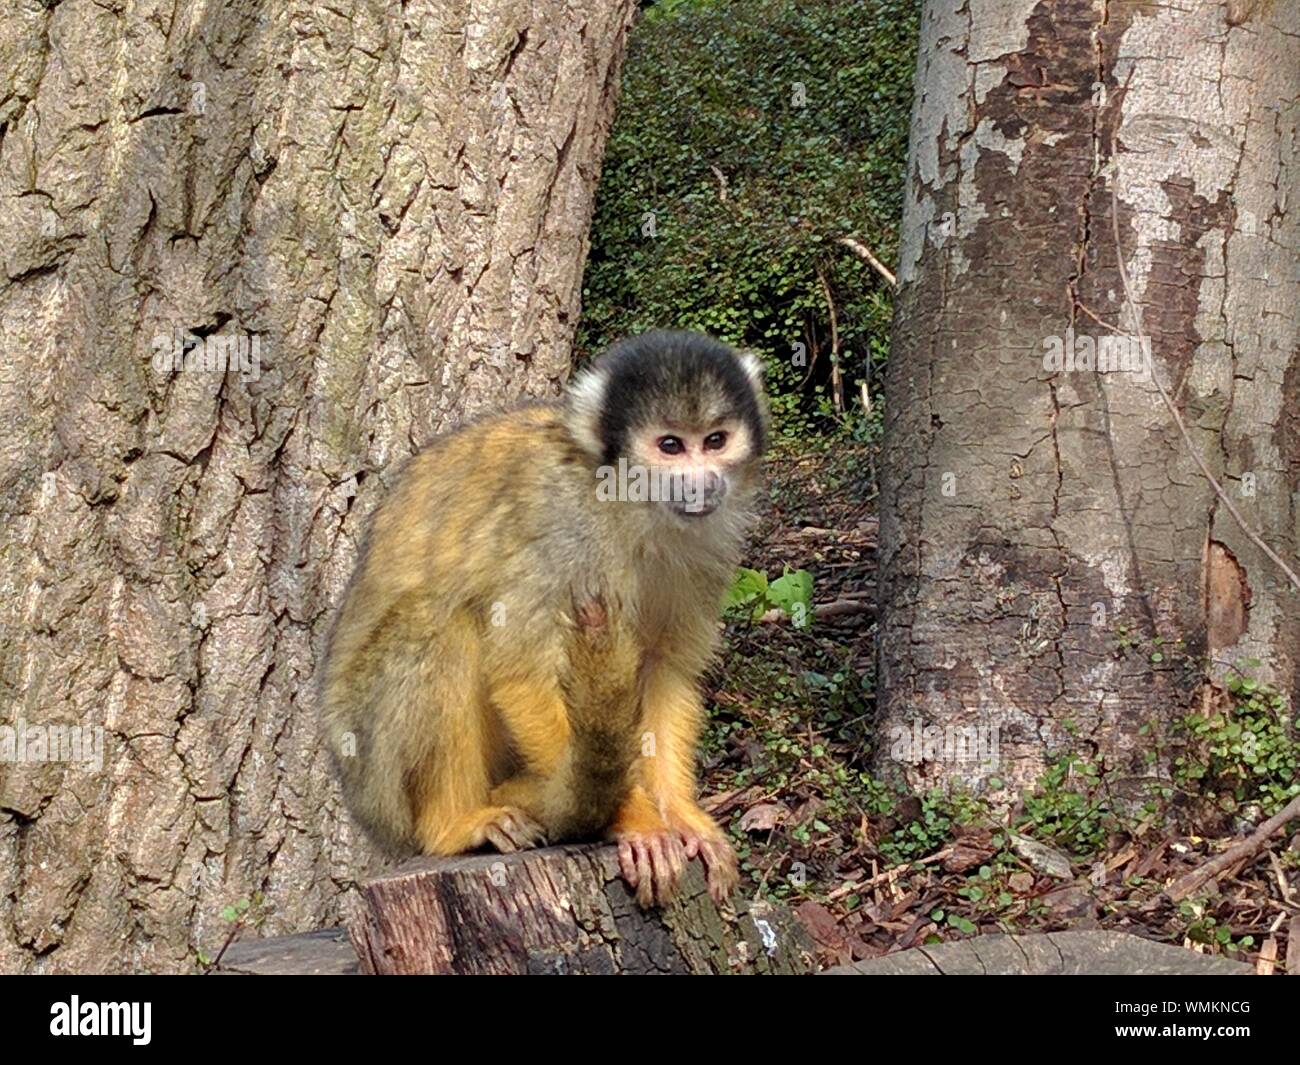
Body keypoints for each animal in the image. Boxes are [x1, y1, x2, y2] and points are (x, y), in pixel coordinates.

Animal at [320, 329, 768, 906]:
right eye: (670, 446)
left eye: (714, 440)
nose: (701, 483)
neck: (632, 507)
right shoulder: (566, 528)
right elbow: (521, 669)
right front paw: (635, 818)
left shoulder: (709, 544)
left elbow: (663, 668)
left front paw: (681, 816)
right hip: (373, 769)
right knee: (438, 622)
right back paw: (454, 825)